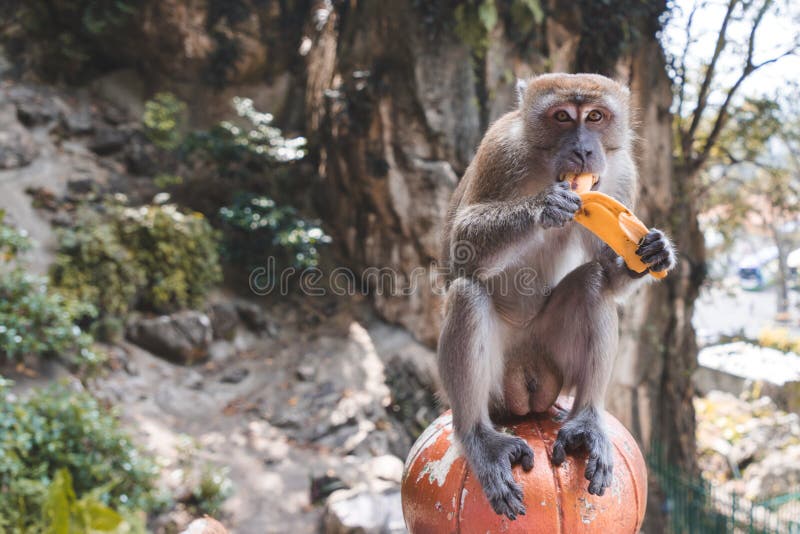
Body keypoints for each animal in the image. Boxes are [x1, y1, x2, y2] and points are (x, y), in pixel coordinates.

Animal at [437, 73, 676, 520]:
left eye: (596, 117)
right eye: (562, 116)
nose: (583, 149)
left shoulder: (622, 174)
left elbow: (607, 272)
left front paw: (654, 251)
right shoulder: (499, 148)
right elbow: (459, 249)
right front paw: (546, 205)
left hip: (553, 361)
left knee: (593, 285)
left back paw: (586, 421)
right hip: (498, 383)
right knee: (467, 294)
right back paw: (480, 439)